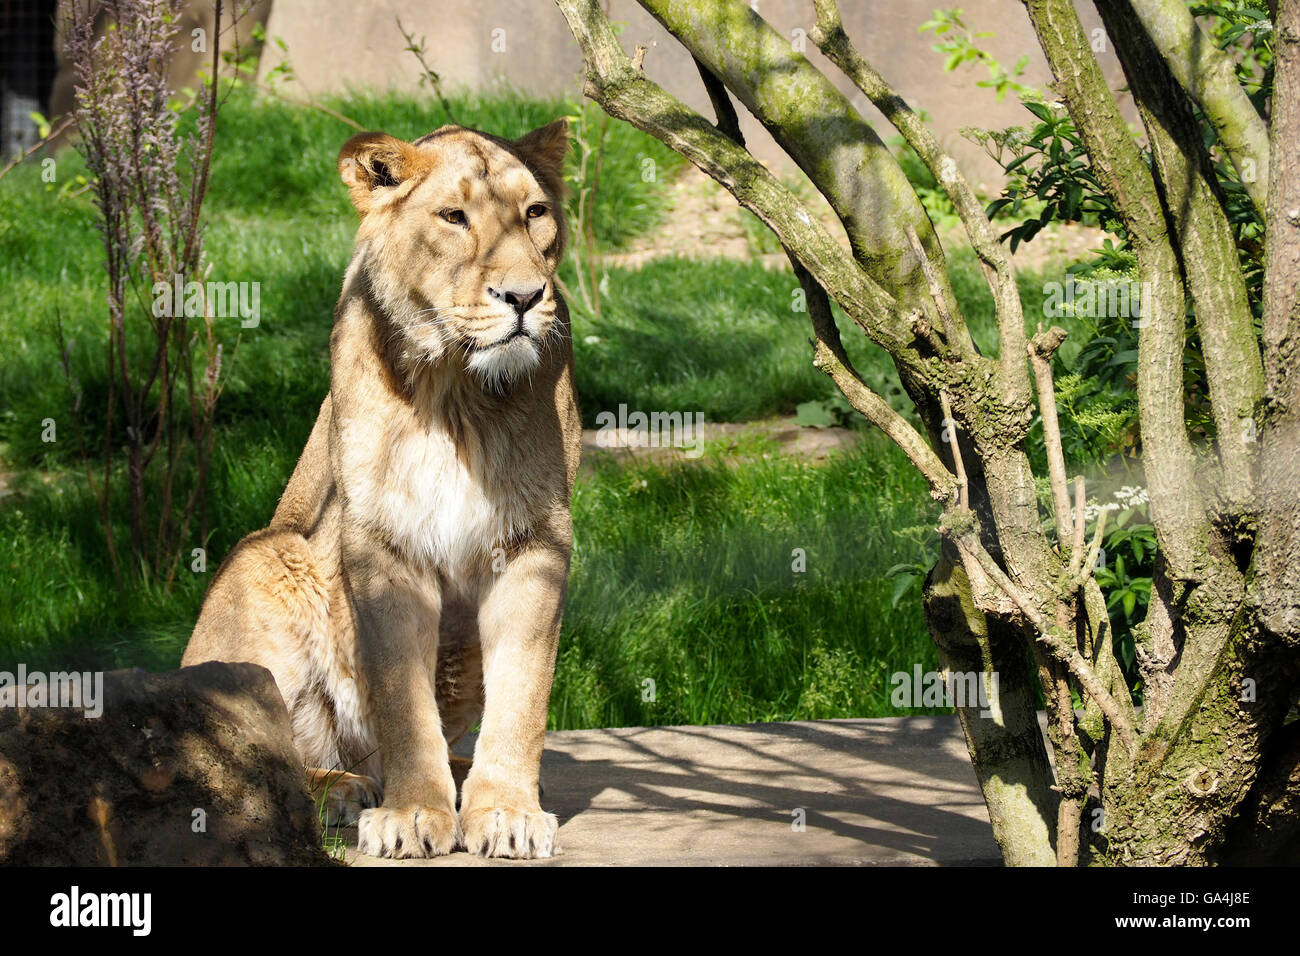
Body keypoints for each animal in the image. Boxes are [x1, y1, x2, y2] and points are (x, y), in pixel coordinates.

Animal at [181, 118, 581, 860]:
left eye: (536, 213)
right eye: (454, 218)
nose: (524, 298)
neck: (457, 390)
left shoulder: (537, 539)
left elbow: (523, 695)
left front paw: (505, 809)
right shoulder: (380, 541)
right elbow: (401, 698)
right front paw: (413, 812)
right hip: (267, 556)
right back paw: (342, 790)